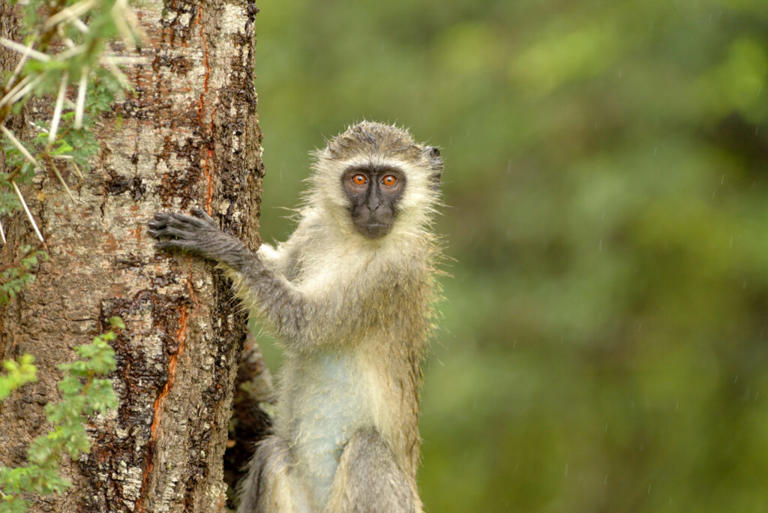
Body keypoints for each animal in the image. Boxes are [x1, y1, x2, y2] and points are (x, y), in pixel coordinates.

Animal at [148, 121, 443, 513]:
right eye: (359, 179)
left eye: (390, 180)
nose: (375, 206)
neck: (352, 241)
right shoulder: (312, 230)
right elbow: (281, 272)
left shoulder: (391, 271)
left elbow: (302, 323)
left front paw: (224, 246)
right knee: (273, 452)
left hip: (395, 502)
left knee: (366, 447)